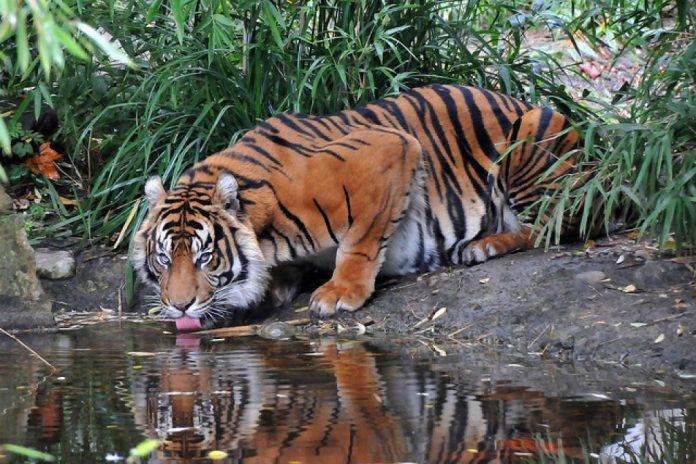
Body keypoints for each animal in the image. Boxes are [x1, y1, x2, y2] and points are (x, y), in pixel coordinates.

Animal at [132, 84, 581, 329]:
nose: (179, 306)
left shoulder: (389, 149)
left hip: (533, 134)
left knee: (557, 224)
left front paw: (339, 292)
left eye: (205, 257)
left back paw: (484, 245)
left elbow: (360, 241)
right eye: (163, 258)